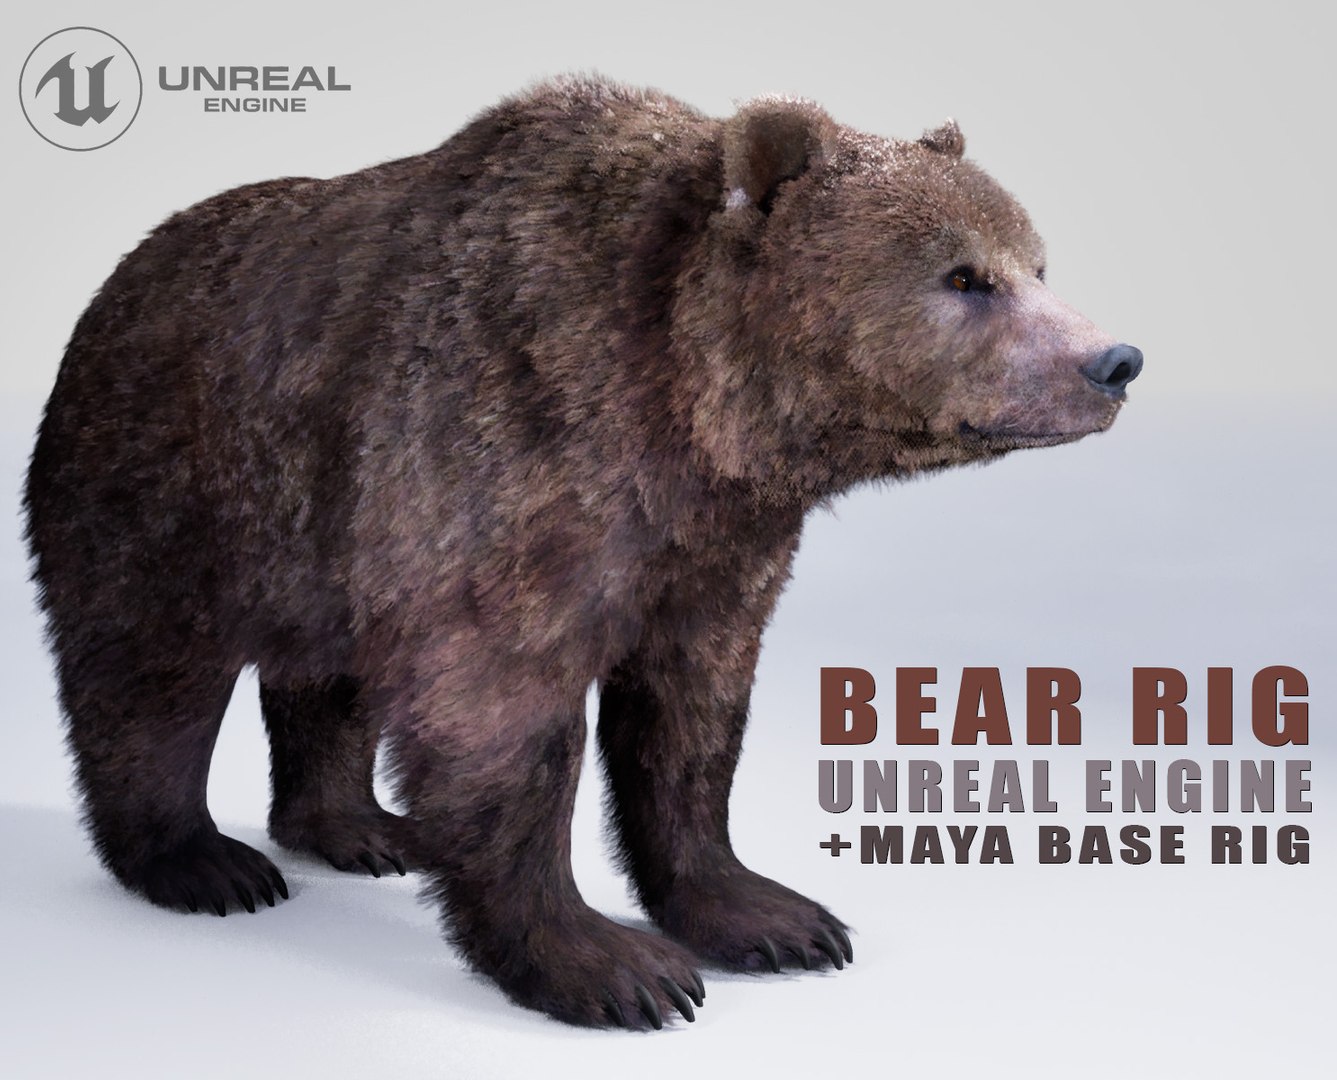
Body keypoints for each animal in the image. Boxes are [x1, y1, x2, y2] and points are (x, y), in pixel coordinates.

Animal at [24, 75, 1141, 1030]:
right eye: (963, 276)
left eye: (1035, 262)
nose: (1113, 360)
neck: (690, 414)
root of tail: (119, 279)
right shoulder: (505, 459)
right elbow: (505, 719)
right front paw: (612, 967)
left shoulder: (715, 546)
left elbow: (690, 719)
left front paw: (773, 918)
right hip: (174, 481)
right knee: (146, 676)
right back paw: (202, 863)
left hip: (325, 526)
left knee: (327, 674)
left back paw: (357, 828)